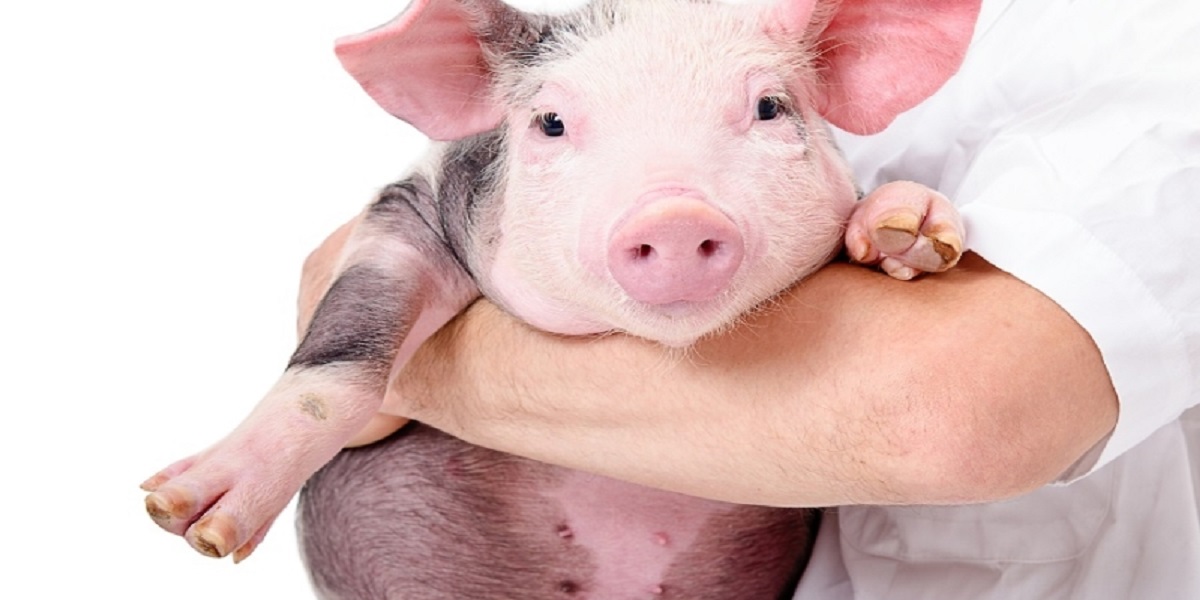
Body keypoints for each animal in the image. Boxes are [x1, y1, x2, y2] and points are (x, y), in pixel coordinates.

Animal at [141, 0, 978, 597]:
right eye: (551, 122)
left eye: (770, 107)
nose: (674, 214)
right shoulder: (412, 210)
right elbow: (344, 349)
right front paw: (188, 517)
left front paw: (908, 227)